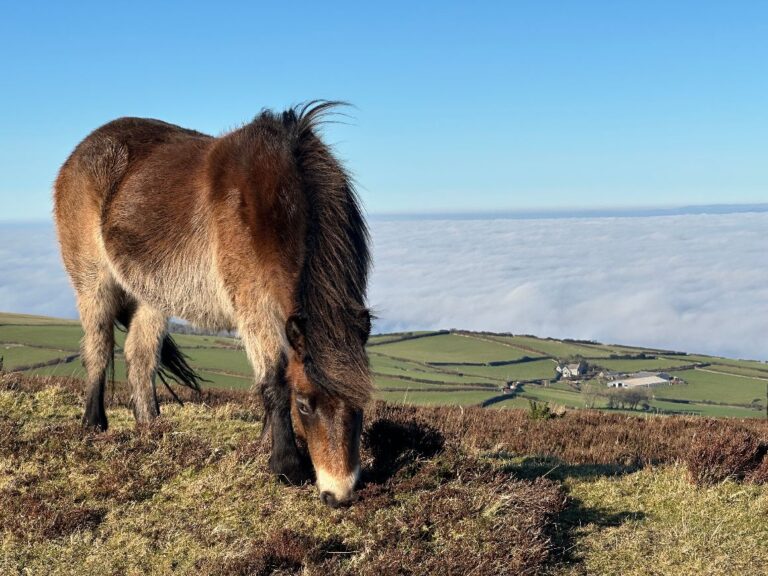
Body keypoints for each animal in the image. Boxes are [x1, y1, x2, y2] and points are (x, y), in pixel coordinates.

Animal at [53, 102, 372, 507]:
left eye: (360, 404)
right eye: (304, 404)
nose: (339, 493)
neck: (277, 200)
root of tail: (80, 152)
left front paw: (265, 447)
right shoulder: (254, 307)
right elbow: (274, 381)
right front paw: (286, 465)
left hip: (150, 296)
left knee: (140, 357)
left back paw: (153, 430)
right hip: (93, 282)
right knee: (98, 347)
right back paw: (94, 425)